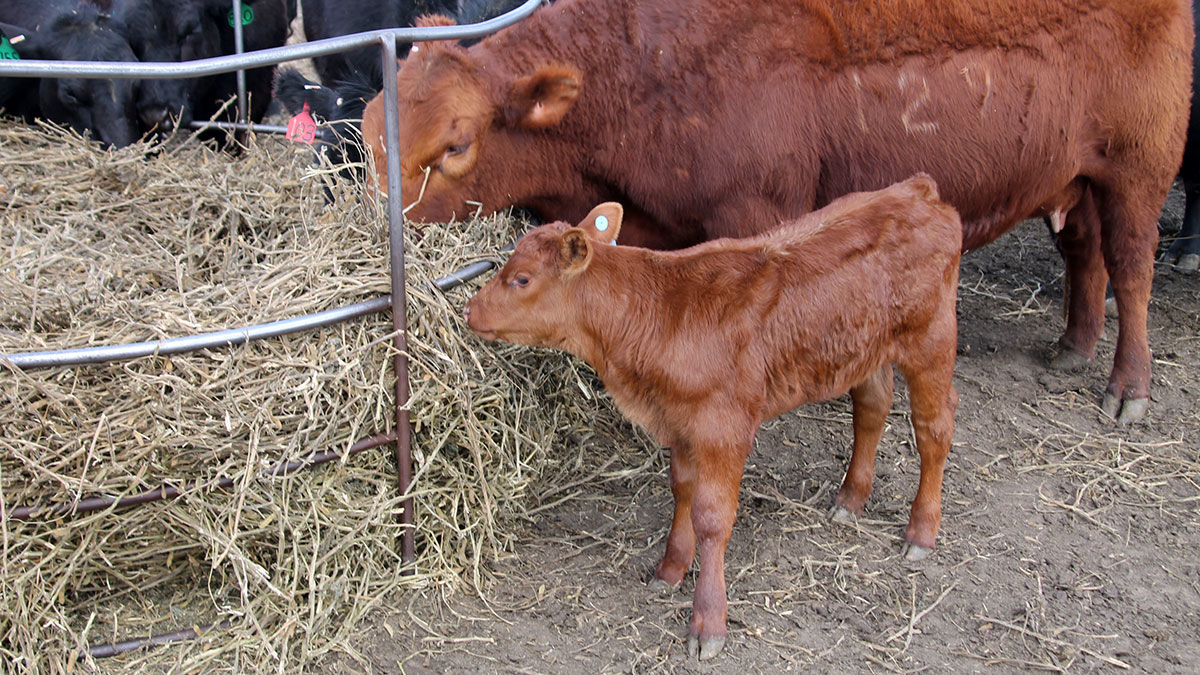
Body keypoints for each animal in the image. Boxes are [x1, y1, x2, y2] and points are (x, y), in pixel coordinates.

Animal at [363, 0, 1193, 425]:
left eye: (456, 144)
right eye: (369, 131)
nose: (370, 234)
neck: (646, 69)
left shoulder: (757, 210)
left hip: (1140, 168)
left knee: (1132, 267)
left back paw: (1128, 385)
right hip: (1080, 174)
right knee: (1086, 254)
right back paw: (1073, 345)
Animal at [465, 175, 963, 659]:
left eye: (522, 279)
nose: (470, 309)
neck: (660, 313)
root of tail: (918, 191)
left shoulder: (724, 427)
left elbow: (712, 516)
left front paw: (708, 621)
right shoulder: (681, 422)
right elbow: (683, 491)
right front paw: (670, 568)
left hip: (931, 339)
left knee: (934, 426)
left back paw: (921, 532)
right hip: (867, 346)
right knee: (873, 407)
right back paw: (851, 497)